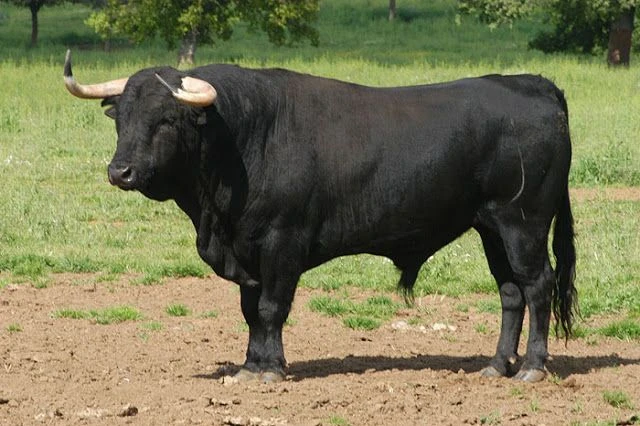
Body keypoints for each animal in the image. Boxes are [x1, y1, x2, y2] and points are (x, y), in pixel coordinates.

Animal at [63, 50, 577, 383]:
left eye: (167, 119)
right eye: (121, 118)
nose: (120, 171)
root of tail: (533, 83)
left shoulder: (281, 244)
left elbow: (271, 308)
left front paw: (270, 369)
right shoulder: (248, 253)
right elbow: (250, 310)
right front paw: (251, 364)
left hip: (524, 224)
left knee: (538, 286)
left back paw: (532, 367)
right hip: (491, 227)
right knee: (510, 292)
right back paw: (496, 365)